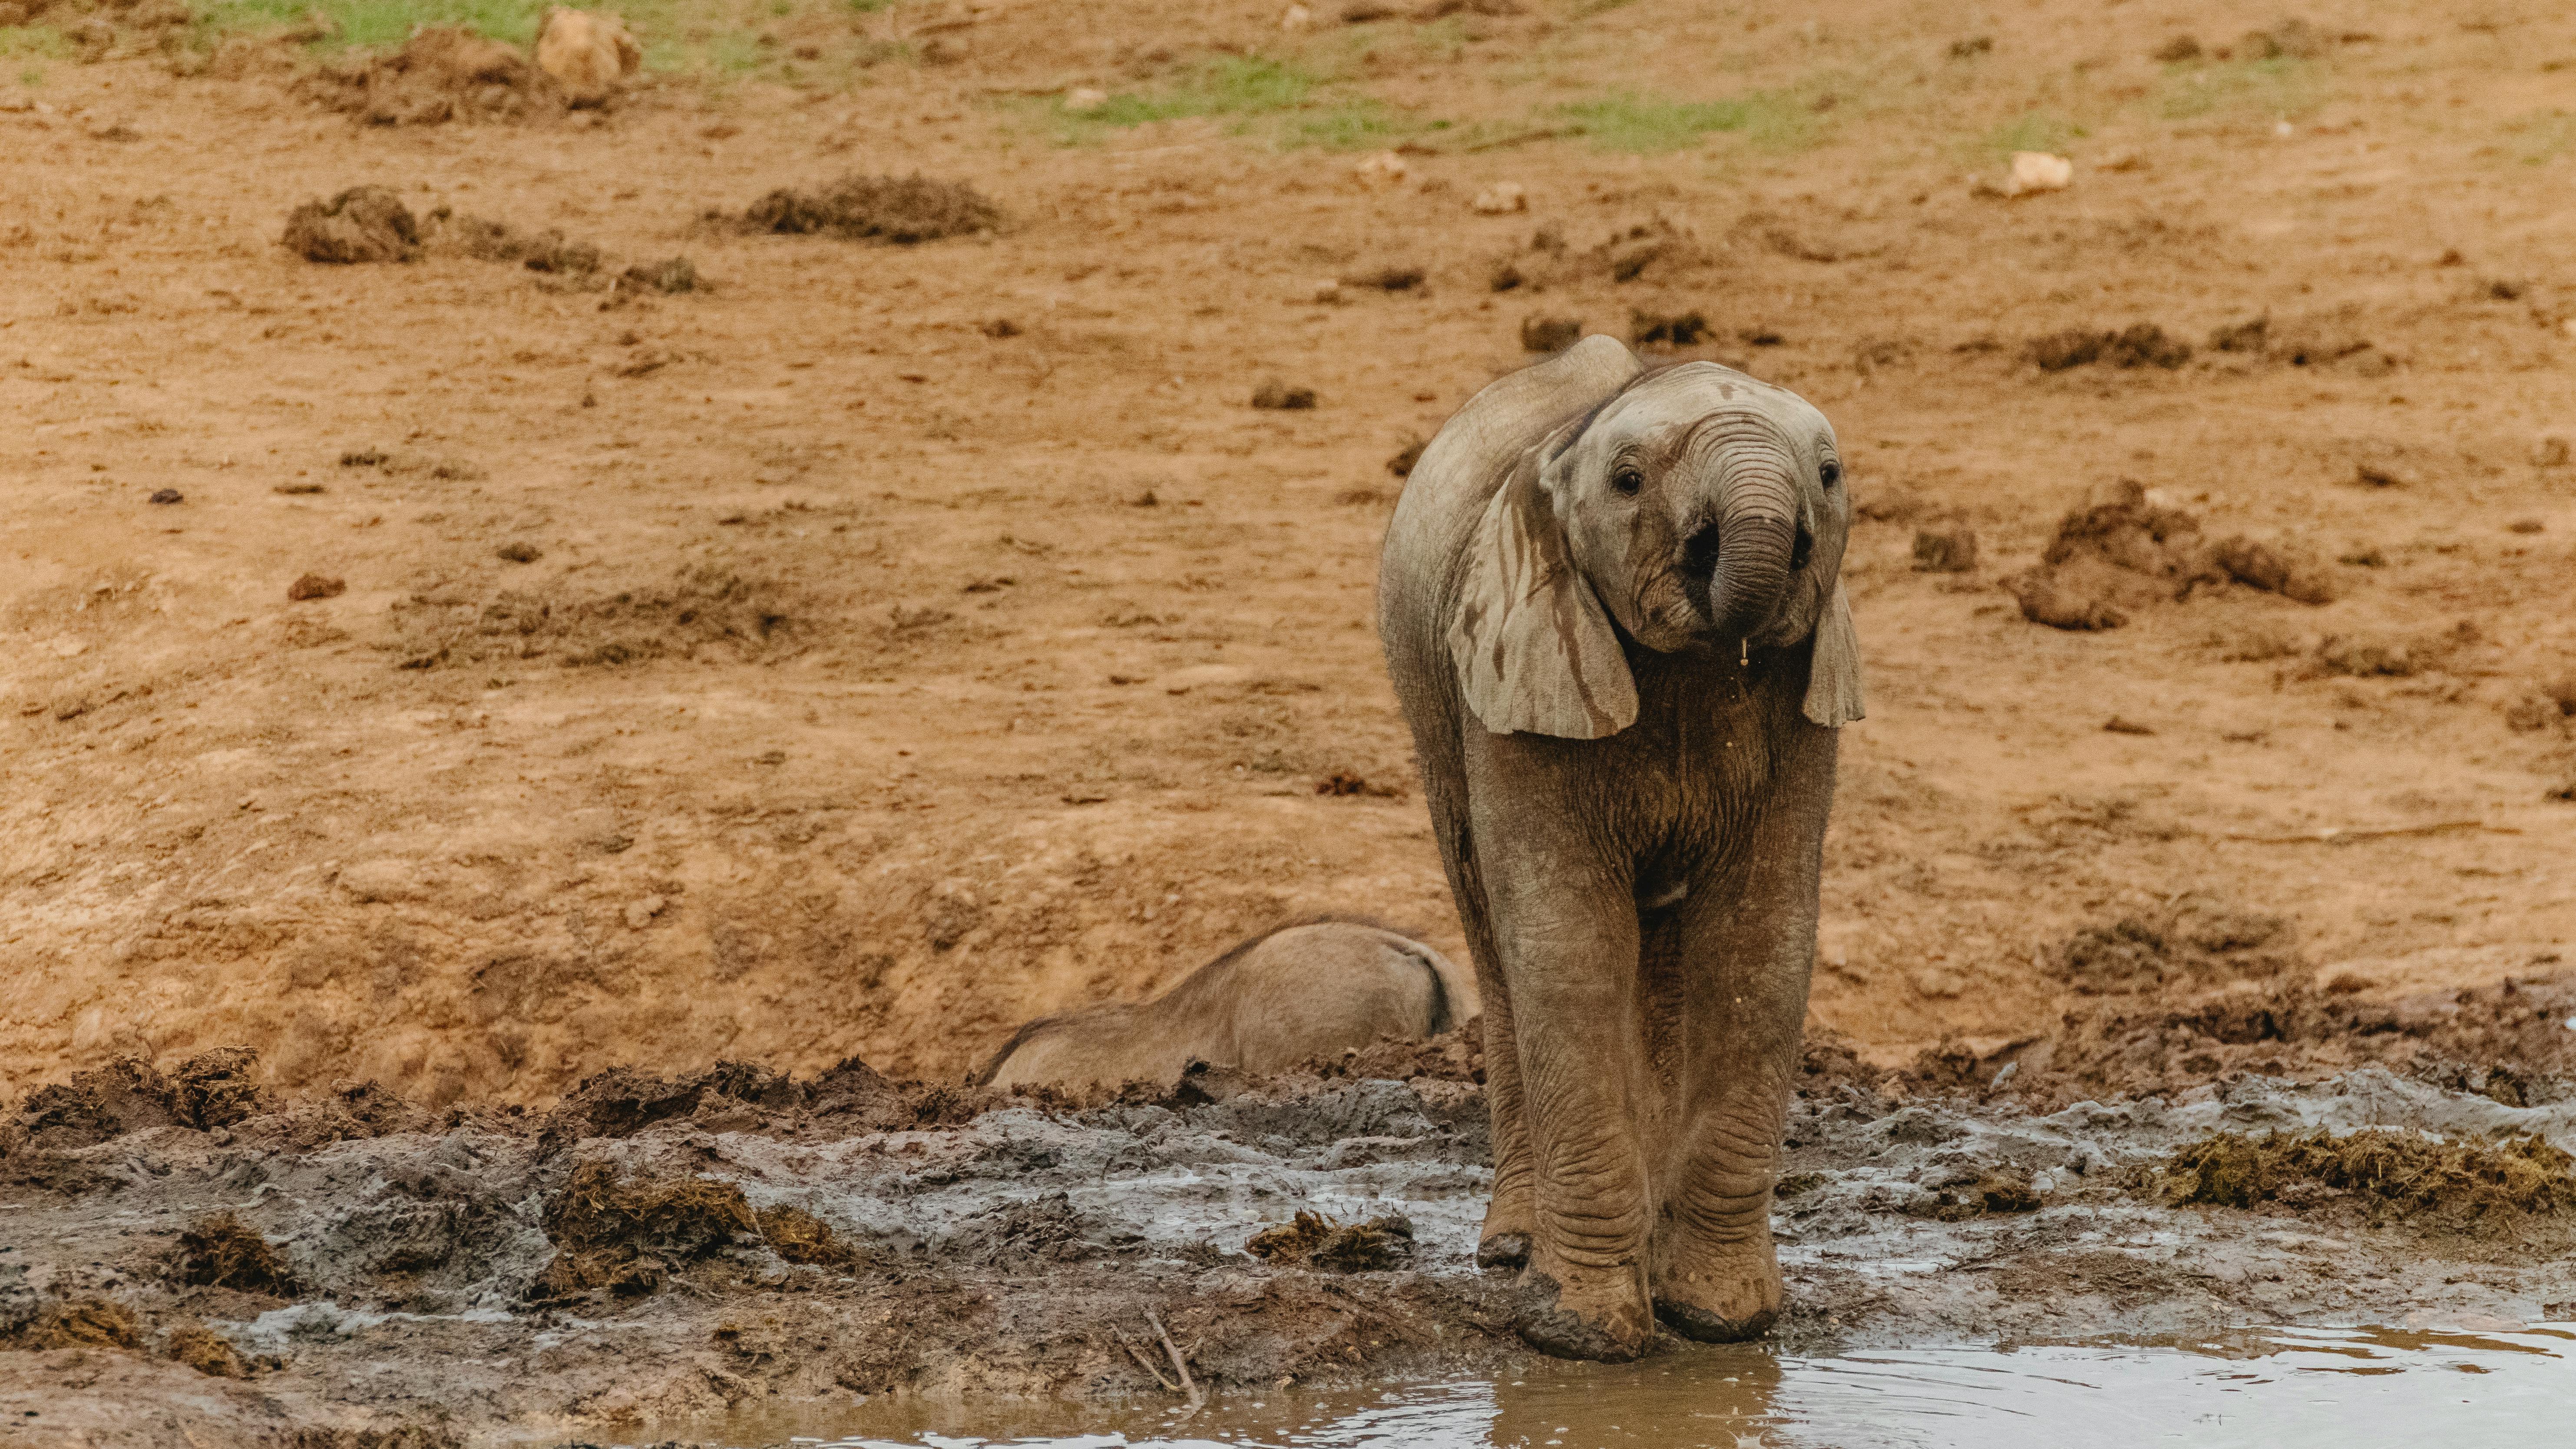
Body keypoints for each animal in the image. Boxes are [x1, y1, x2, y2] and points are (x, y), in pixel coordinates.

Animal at [1376, 336, 1864, 1361]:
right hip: (1431, 701)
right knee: (1493, 932)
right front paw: (1580, 1336)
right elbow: (1570, 942)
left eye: (1830, 476)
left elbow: (1757, 942)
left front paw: (1719, 1320)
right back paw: (1514, 1247)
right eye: (1629, 481)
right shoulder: (1520, 658)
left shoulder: (1802, 694)